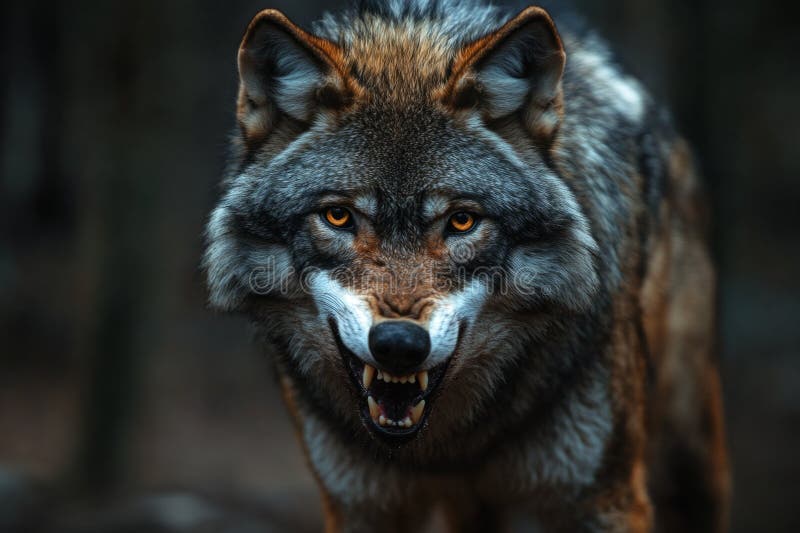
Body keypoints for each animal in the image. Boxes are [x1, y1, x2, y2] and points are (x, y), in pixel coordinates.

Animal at [203, 0, 729, 530]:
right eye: (338, 216)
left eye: (461, 221)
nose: (399, 344)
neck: (449, 449)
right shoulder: (362, 505)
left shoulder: (605, 500)